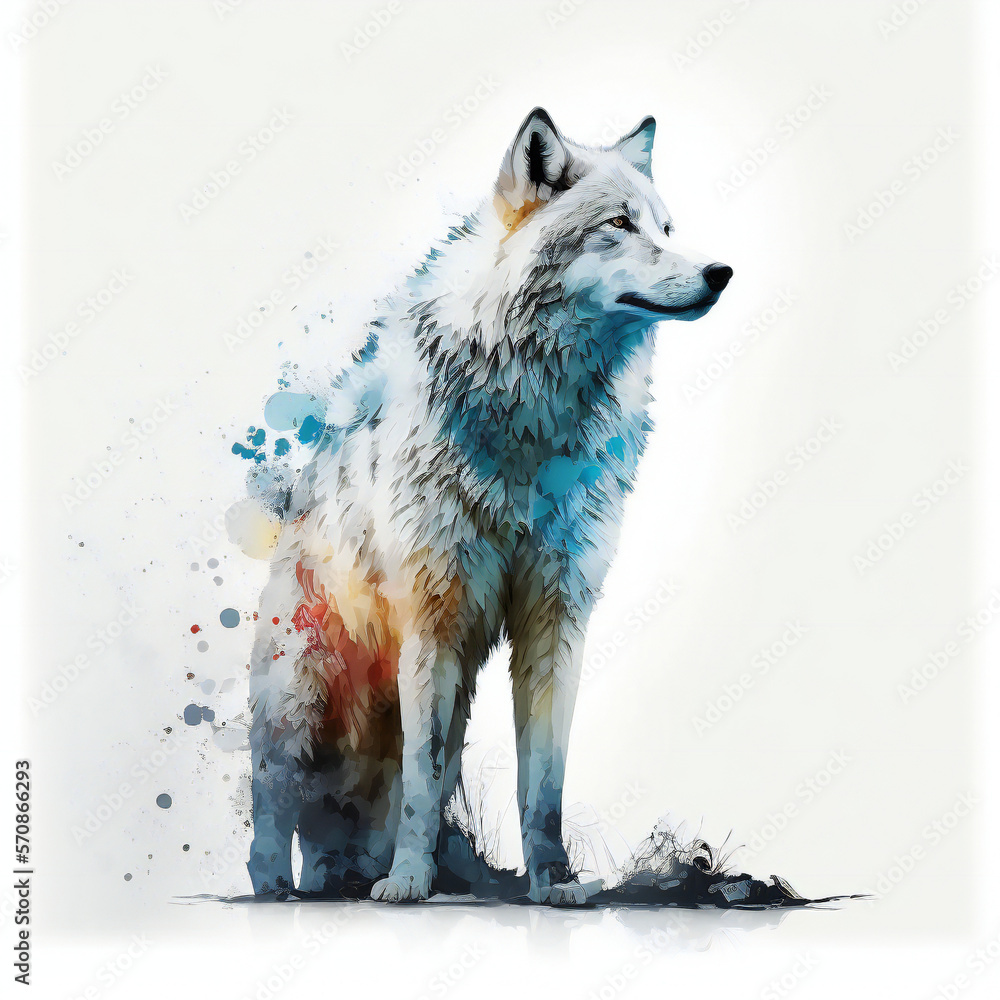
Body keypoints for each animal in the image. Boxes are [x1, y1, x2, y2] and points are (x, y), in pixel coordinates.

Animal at [235, 108, 732, 905]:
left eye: (665, 227)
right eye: (619, 225)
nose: (721, 273)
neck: (534, 417)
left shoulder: (556, 616)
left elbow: (544, 783)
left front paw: (553, 883)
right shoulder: (435, 617)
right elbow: (422, 777)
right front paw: (408, 883)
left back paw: (349, 878)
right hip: (296, 707)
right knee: (275, 812)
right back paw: (288, 886)